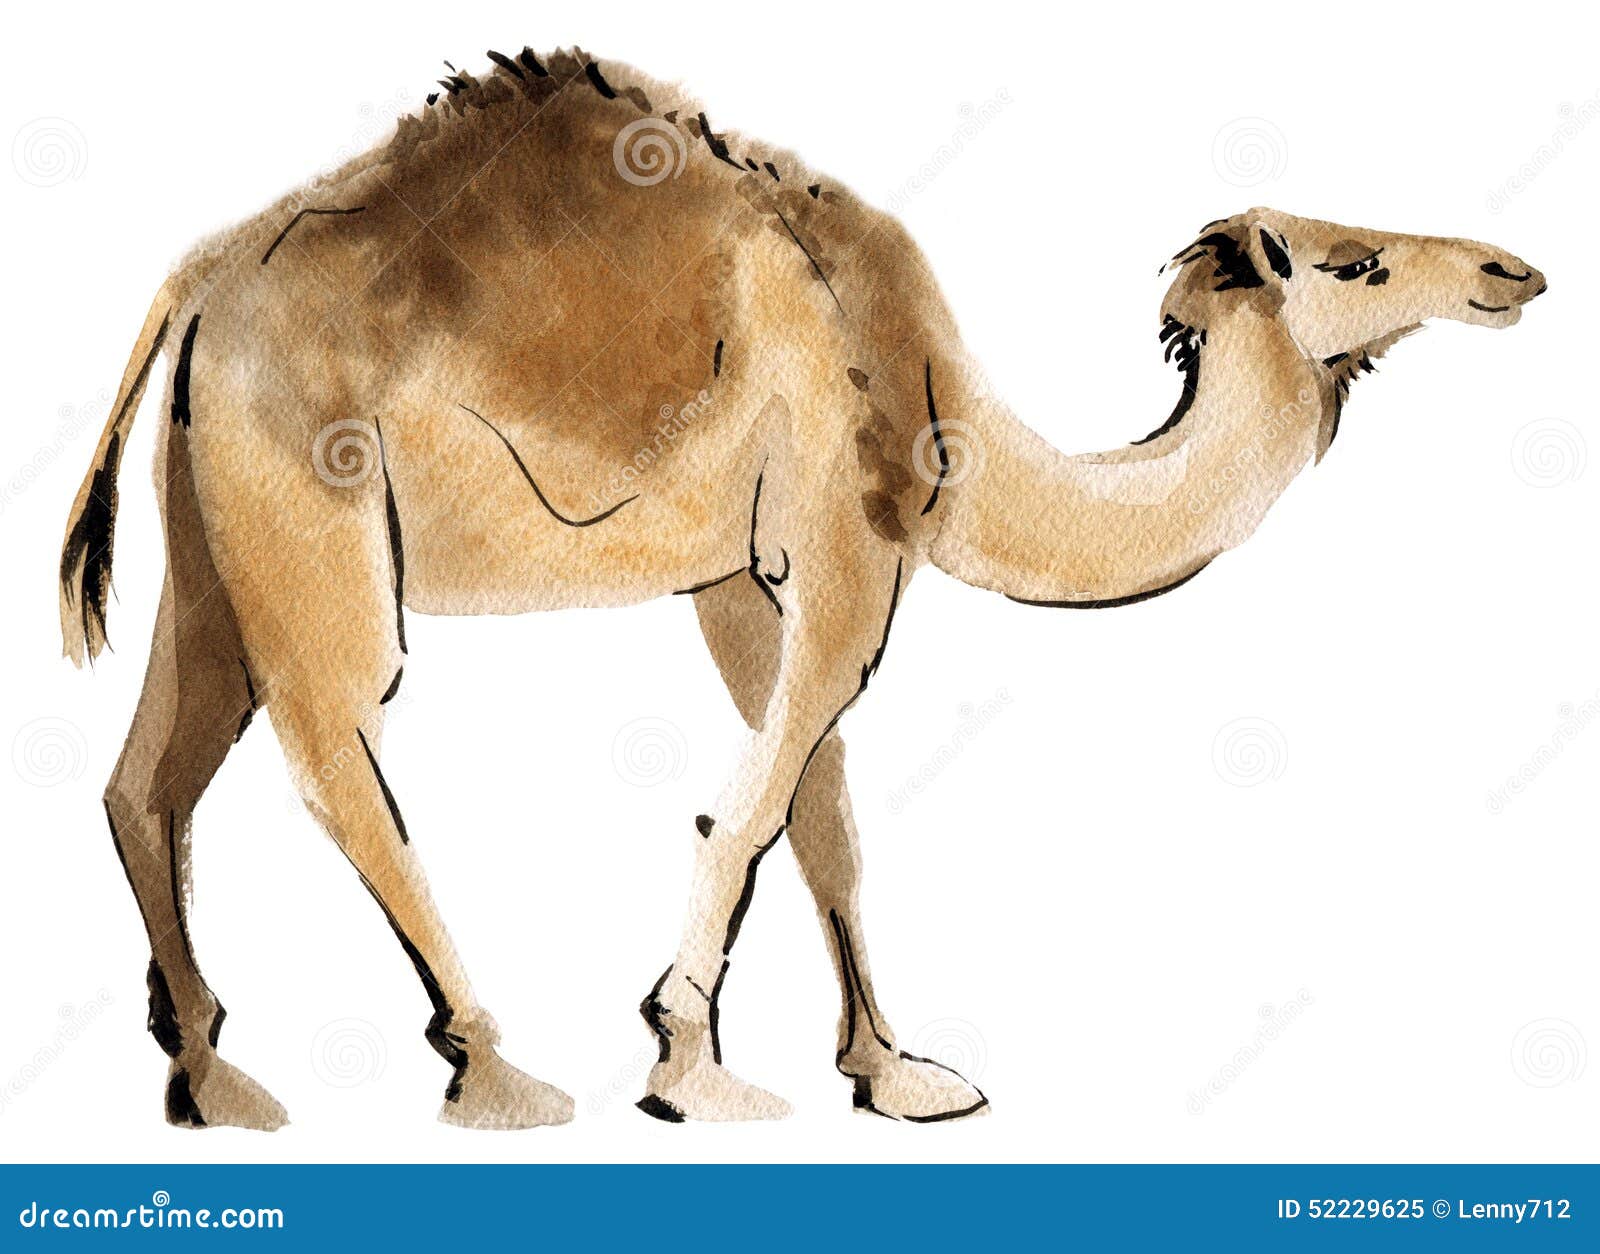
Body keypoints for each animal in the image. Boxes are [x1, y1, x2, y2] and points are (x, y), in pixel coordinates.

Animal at [59, 47, 1547, 1130]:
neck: (944, 413)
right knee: (338, 740)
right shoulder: (843, 541)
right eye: (1353, 259)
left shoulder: (738, 573)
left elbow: (822, 807)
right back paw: (494, 1074)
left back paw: (213, 1080)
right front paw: (687, 1065)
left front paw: (894, 1072)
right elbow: (768, 797)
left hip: (210, 525)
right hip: (311, 500)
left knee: (150, 773)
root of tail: (197, 283)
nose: (1511, 270)